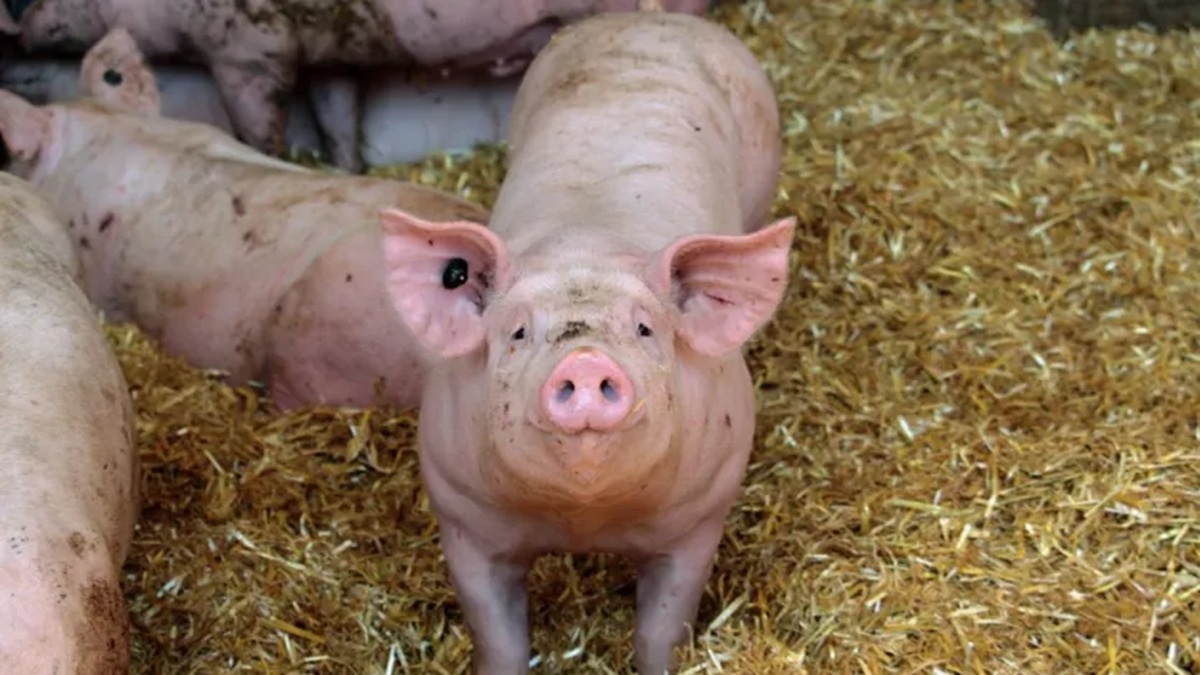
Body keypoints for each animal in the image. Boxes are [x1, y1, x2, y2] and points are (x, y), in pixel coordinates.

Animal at [377, 5, 795, 674]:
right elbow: (497, 634)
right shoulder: (462, 515)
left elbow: (662, 627)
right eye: (519, 331)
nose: (585, 359)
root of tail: (648, 19)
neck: (584, 519)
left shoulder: (700, 515)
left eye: (645, 328)